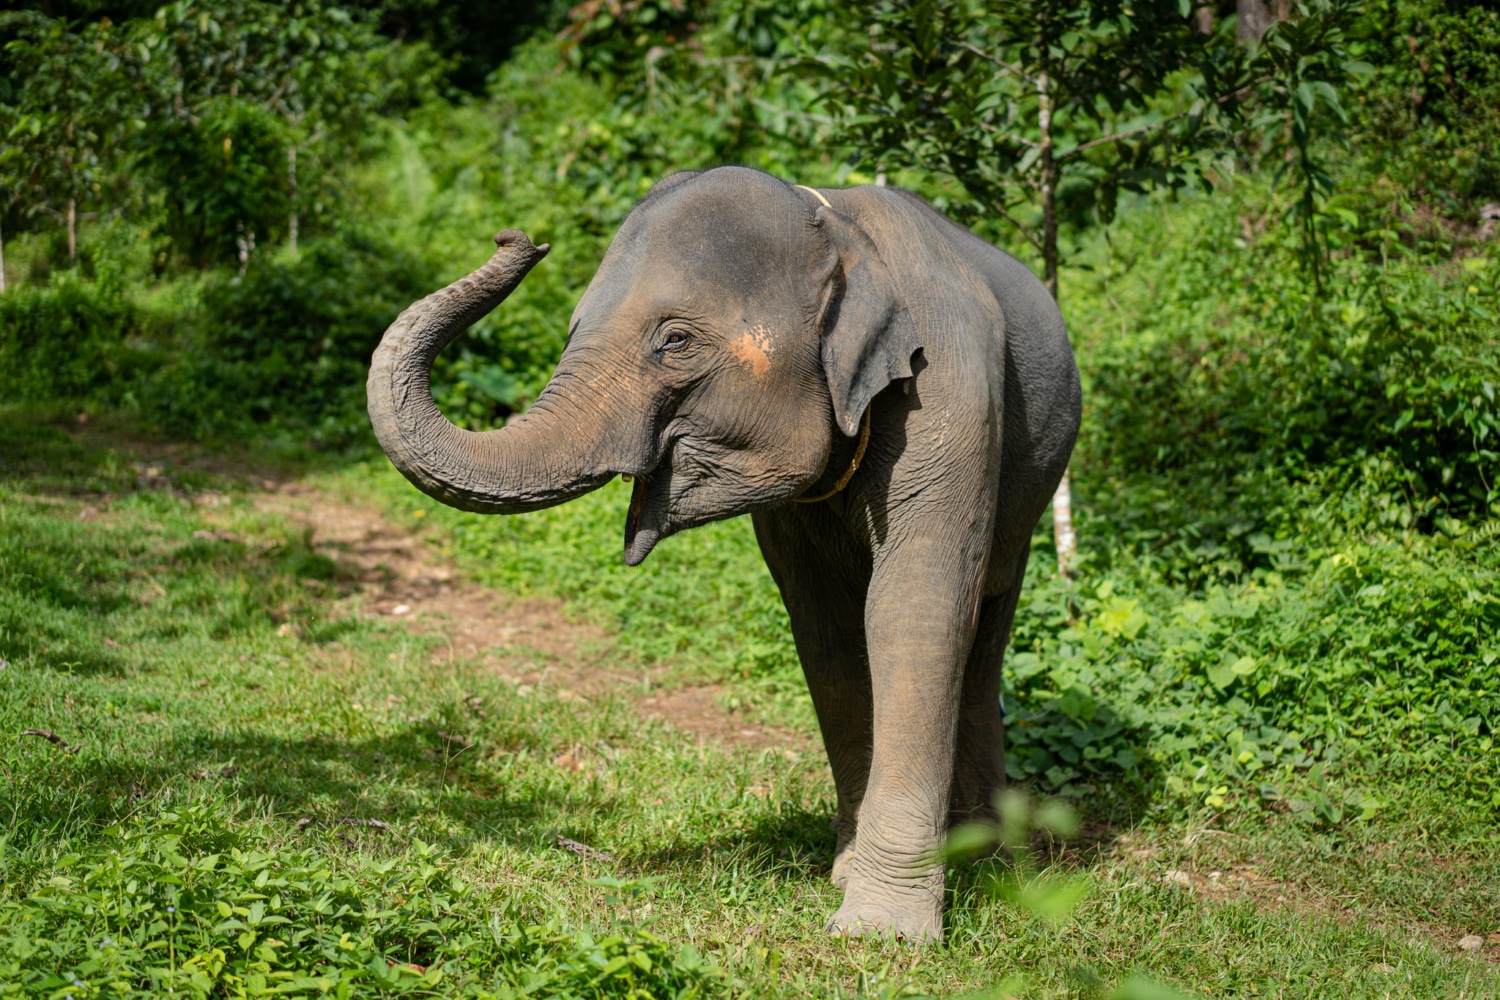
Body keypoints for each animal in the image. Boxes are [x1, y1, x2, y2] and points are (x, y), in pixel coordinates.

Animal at [367, 166, 1081, 942]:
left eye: (675, 340)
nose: (516, 237)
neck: (836, 228)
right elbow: (826, 630)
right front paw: (845, 877)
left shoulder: (950, 394)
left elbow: (911, 612)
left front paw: (880, 933)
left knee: (983, 635)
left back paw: (993, 866)